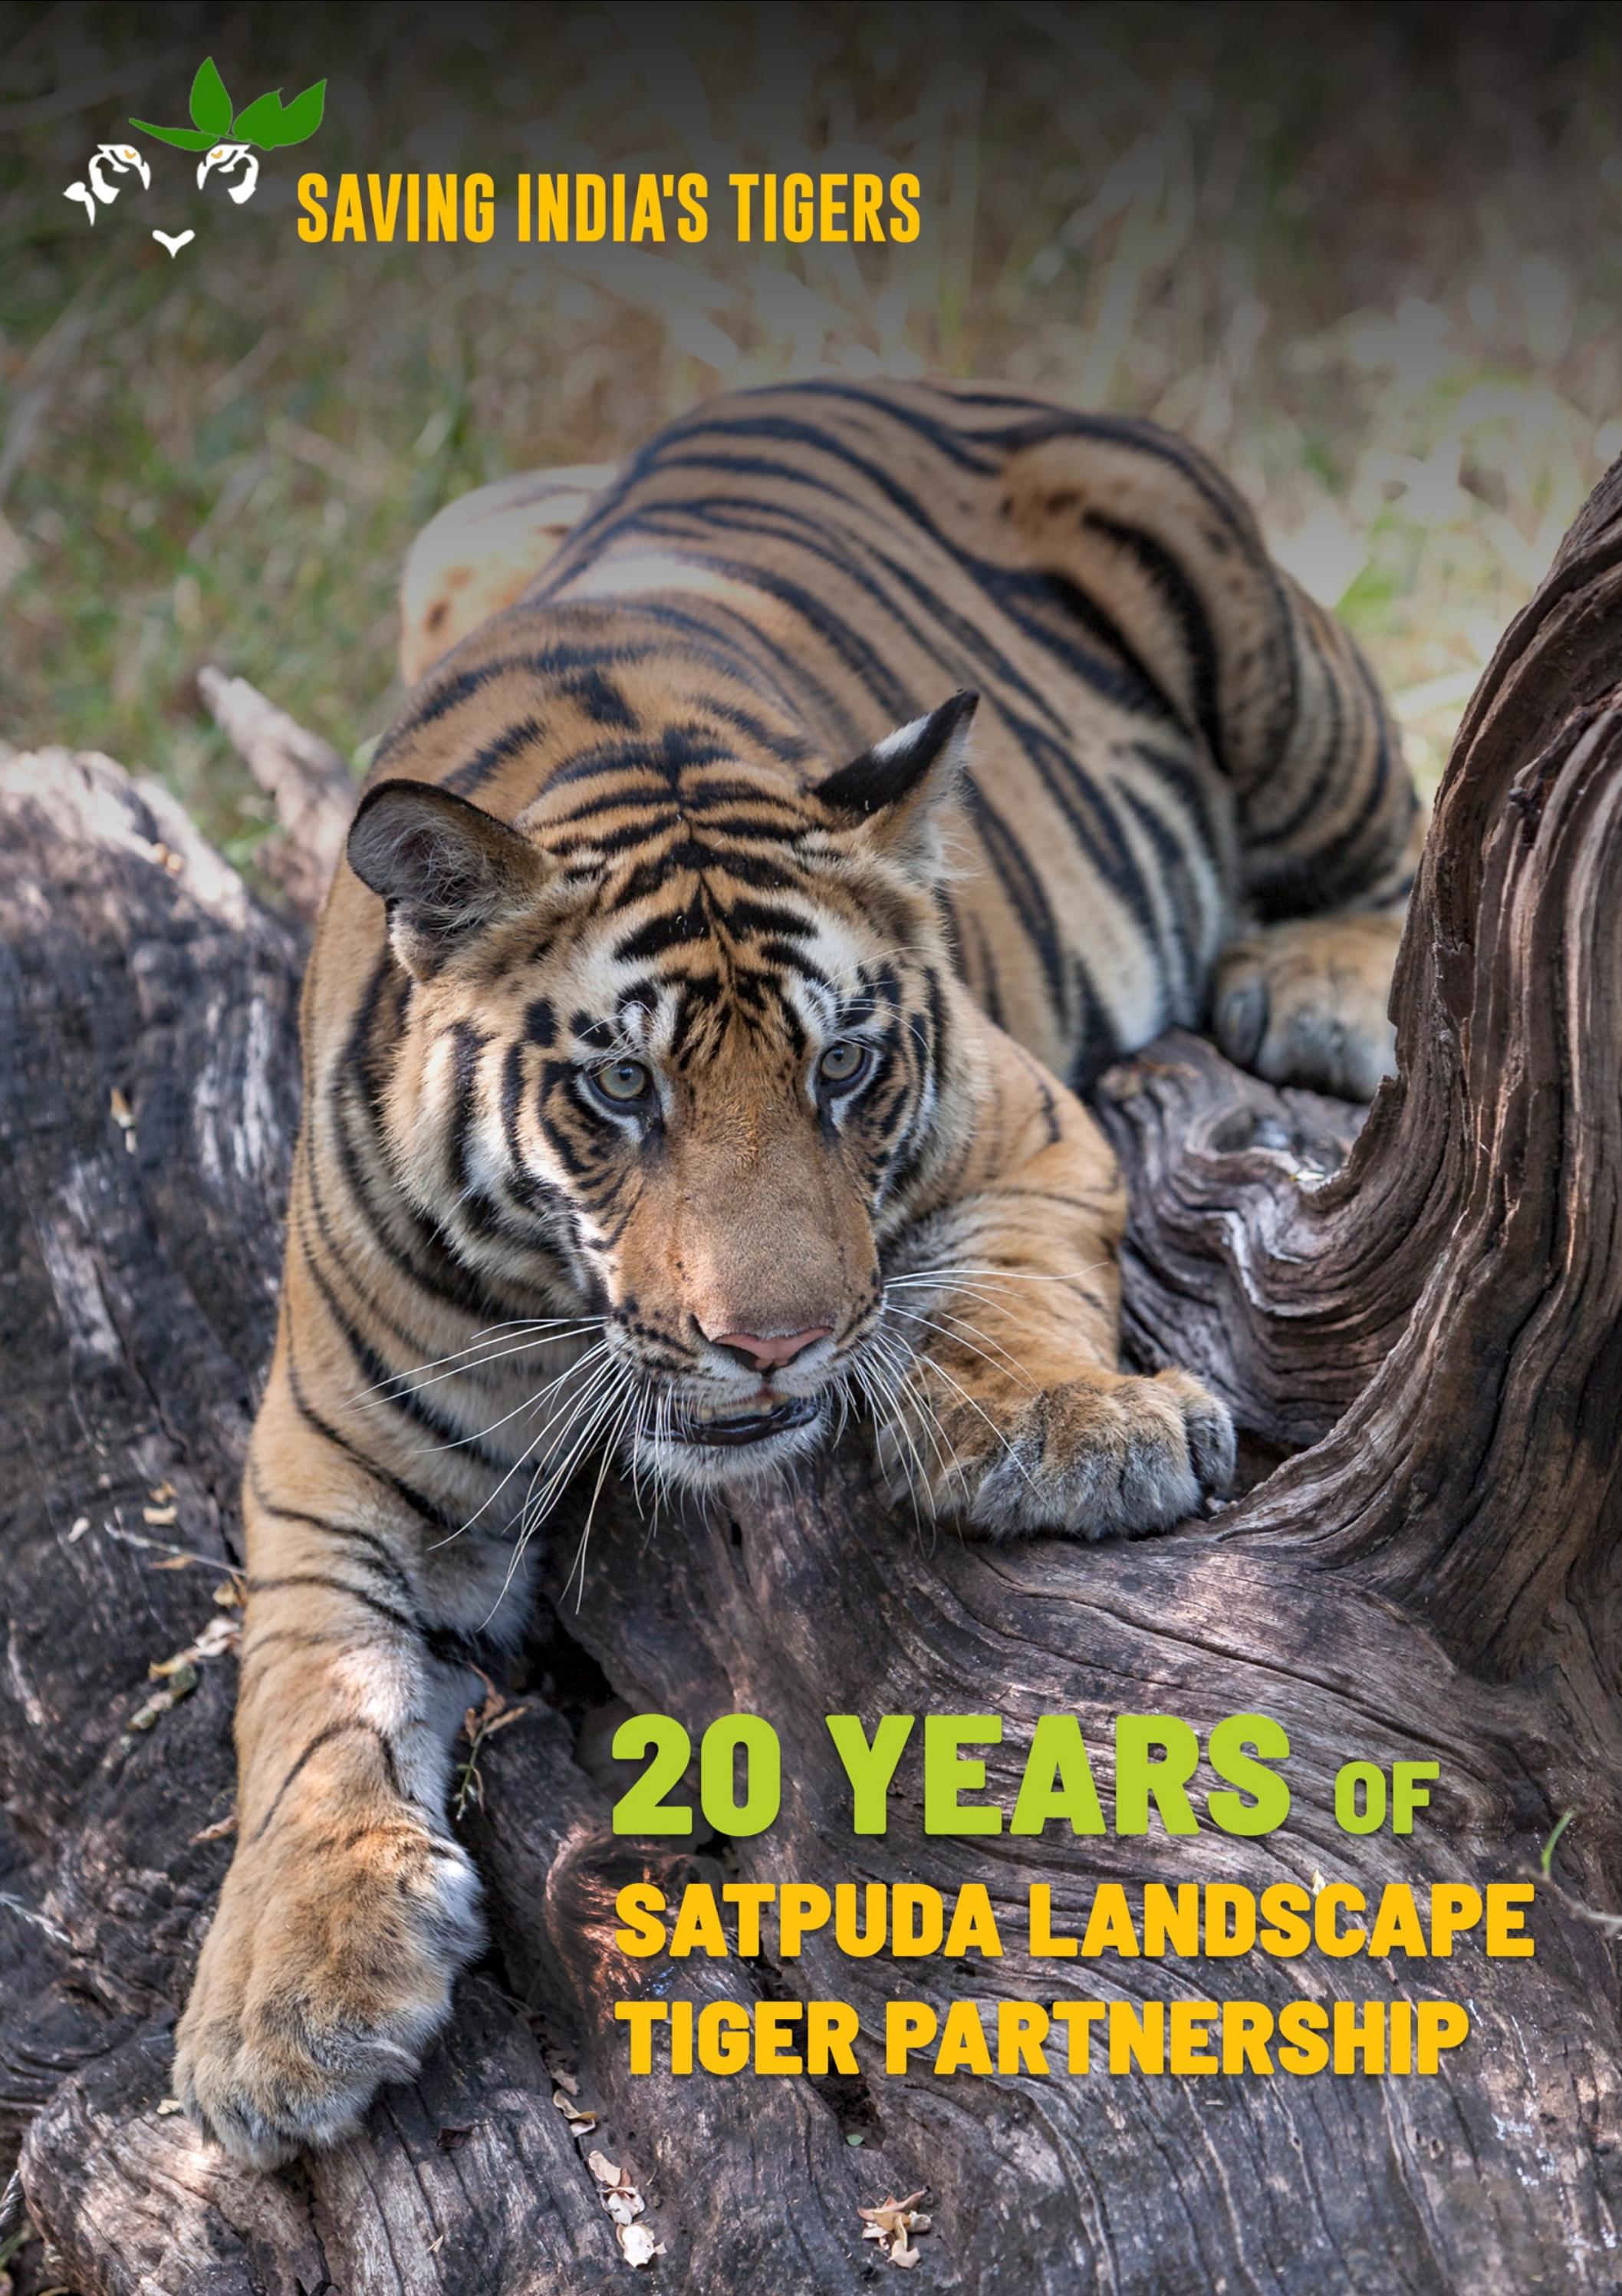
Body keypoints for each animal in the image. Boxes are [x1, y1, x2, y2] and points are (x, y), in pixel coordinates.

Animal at [173, 379, 1418, 2164]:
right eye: (622, 1086)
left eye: (843, 1066)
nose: (773, 1340)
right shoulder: (325, 1440)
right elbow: (304, 1690)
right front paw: (279, 1999)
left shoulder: (1025, 1116)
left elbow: (990, 1286)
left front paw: (1075, 1429)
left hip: (1244, 620)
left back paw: (1311, 977)